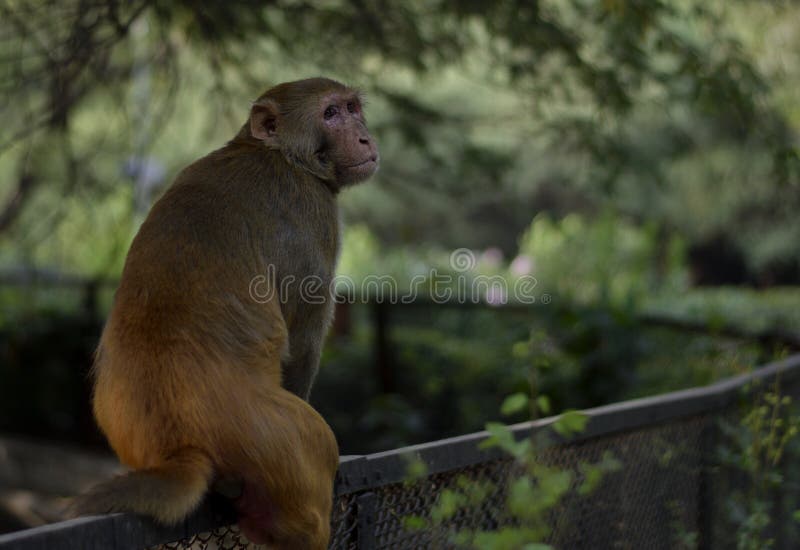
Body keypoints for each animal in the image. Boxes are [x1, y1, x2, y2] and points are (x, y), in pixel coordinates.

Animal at [71, 77, 379, 548]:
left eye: (352, 108)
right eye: (330, 114)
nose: (364, 137)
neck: (275, 152)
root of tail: (178, 442)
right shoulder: (314, 213)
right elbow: (303, 342)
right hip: (286, 444)